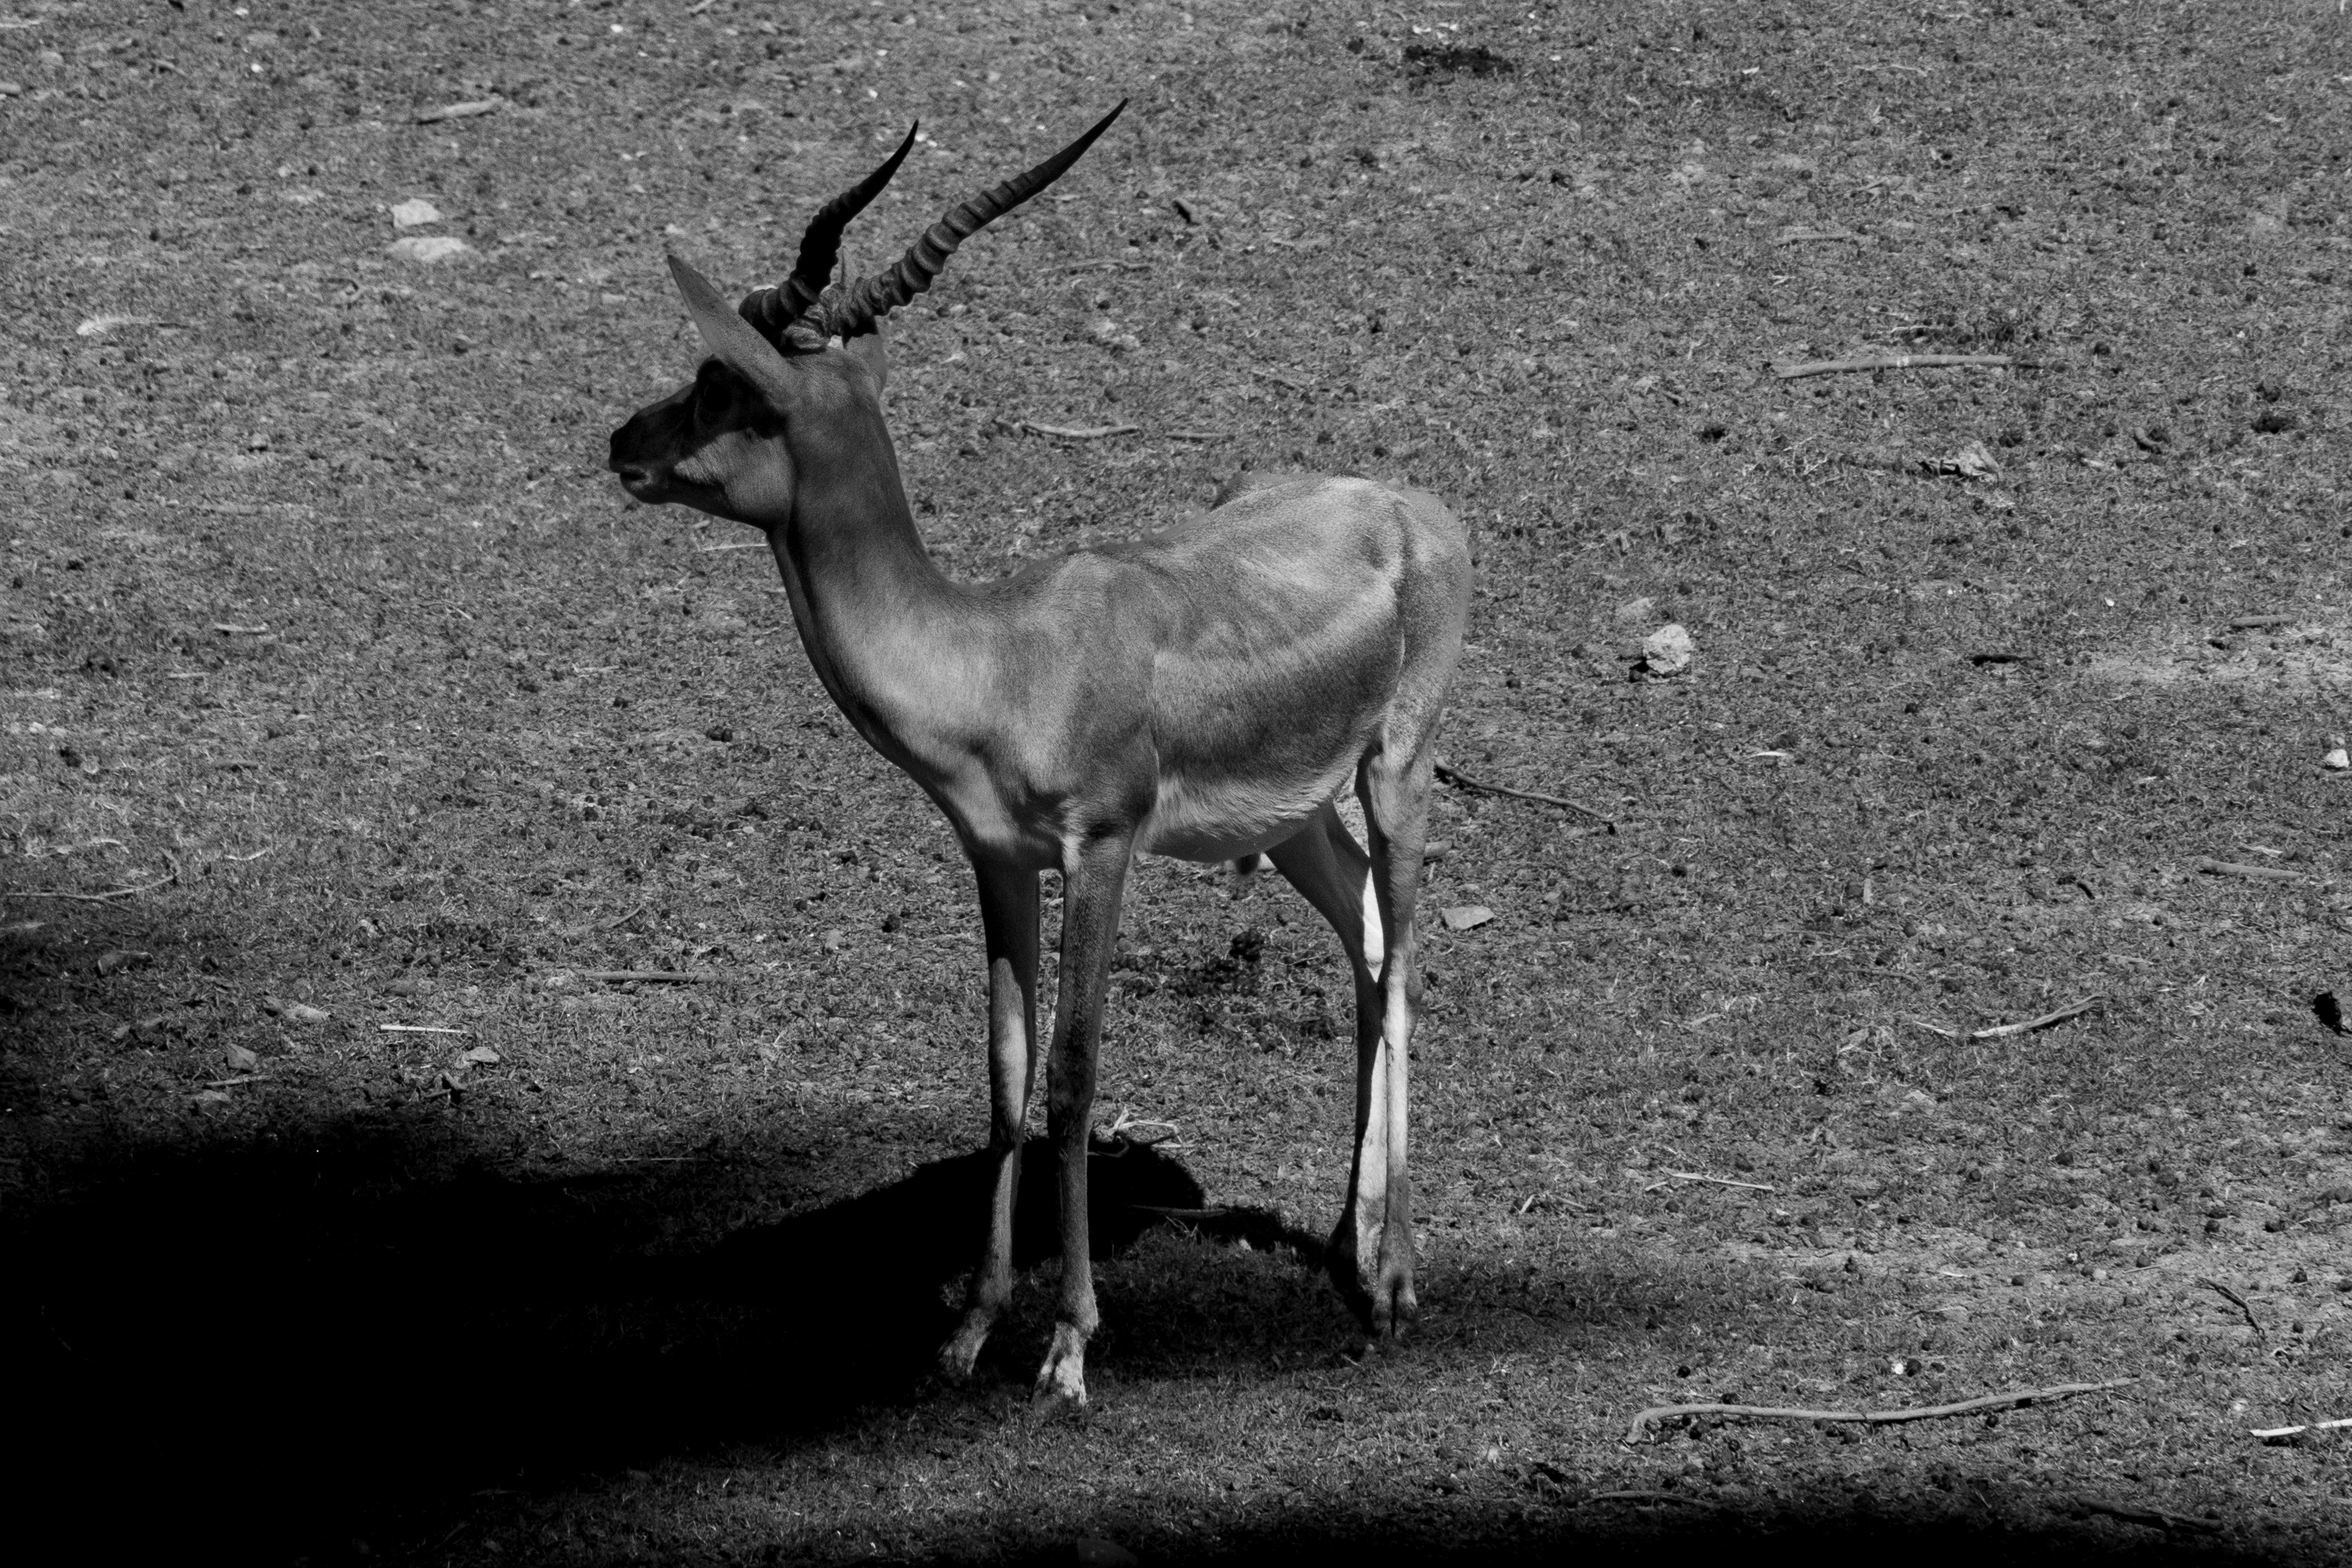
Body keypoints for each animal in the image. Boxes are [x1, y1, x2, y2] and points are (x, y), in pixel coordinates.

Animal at [607, 106, 1471, 1408]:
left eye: (719, 383)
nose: (623, 442)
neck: (998, 658)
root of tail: (1408, 505)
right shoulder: (998, 860)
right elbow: (1005, 1079)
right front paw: (968, 1329)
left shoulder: (1100, 851)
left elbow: (1071, 1076)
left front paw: (1067, 1344)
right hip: (1294, 822)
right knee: (1368, 950)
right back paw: (1343, 1245)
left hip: (1395, 770)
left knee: (1407, 965)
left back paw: (1395, 1288)